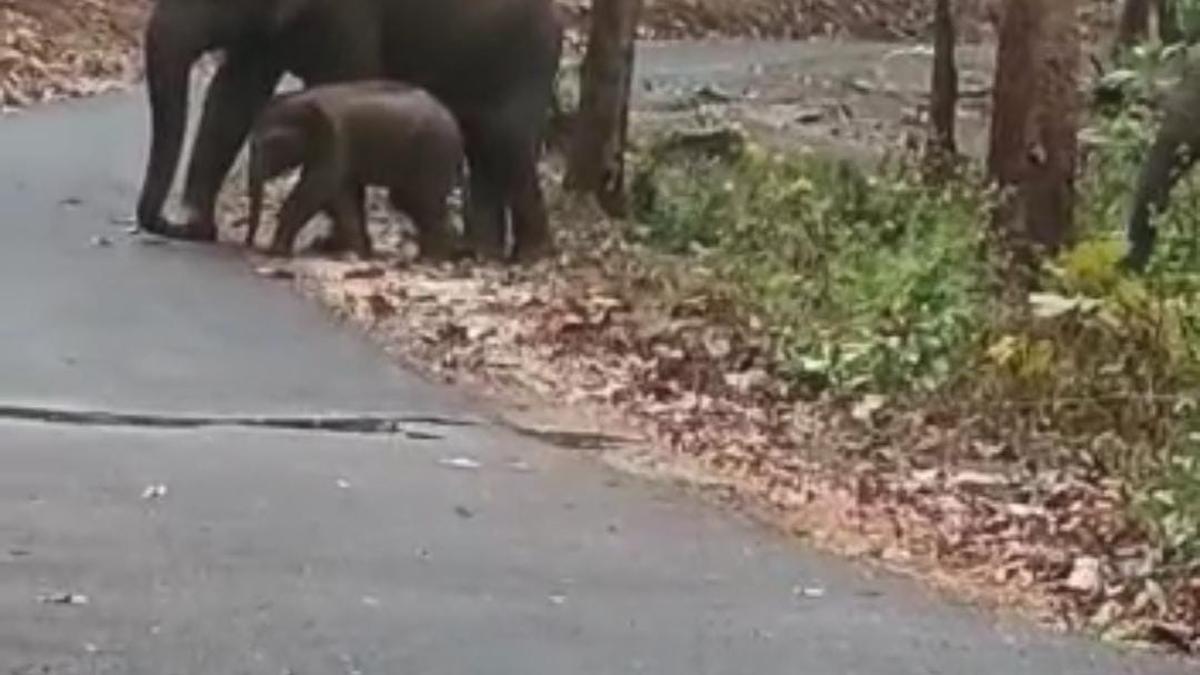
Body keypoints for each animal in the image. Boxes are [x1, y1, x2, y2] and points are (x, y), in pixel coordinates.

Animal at [245, 81, 464, 259]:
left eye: (270, 144)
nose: (250, 245)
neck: (303, 97)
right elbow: (342, 194)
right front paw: (354, 250)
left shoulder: (336, 139)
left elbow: (320, 188)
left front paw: (277, 252)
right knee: (406, 199)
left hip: (434, 152)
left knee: (422, 199)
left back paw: (431, 258)